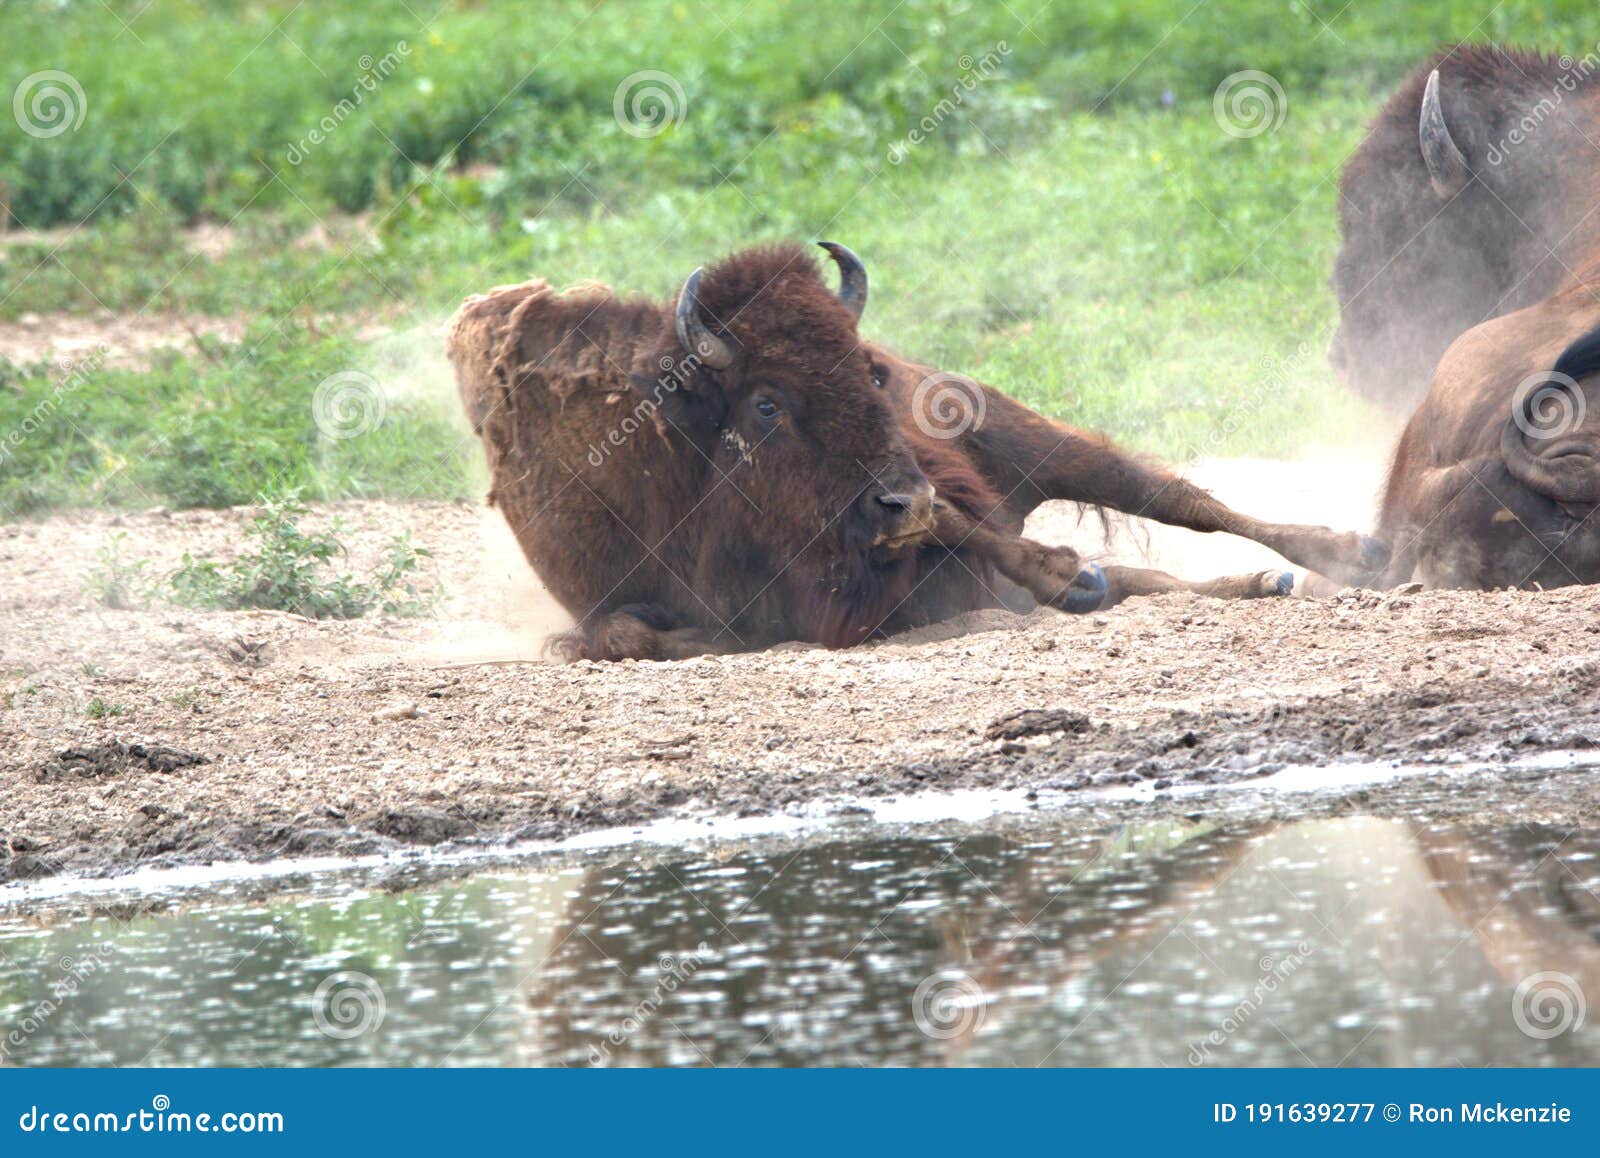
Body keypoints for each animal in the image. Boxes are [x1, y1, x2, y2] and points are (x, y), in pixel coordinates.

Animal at [448, 243, 1384, 660]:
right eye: (765, 403)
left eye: (869, 371)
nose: (901, 500)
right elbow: (625, 634)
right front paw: (1072, 579)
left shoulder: (924, 499)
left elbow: (973, 530)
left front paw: (1063, 572)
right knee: (1149, 567)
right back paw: (1252, 581)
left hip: (1028, 436)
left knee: (1170, 497)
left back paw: (1343, 551)